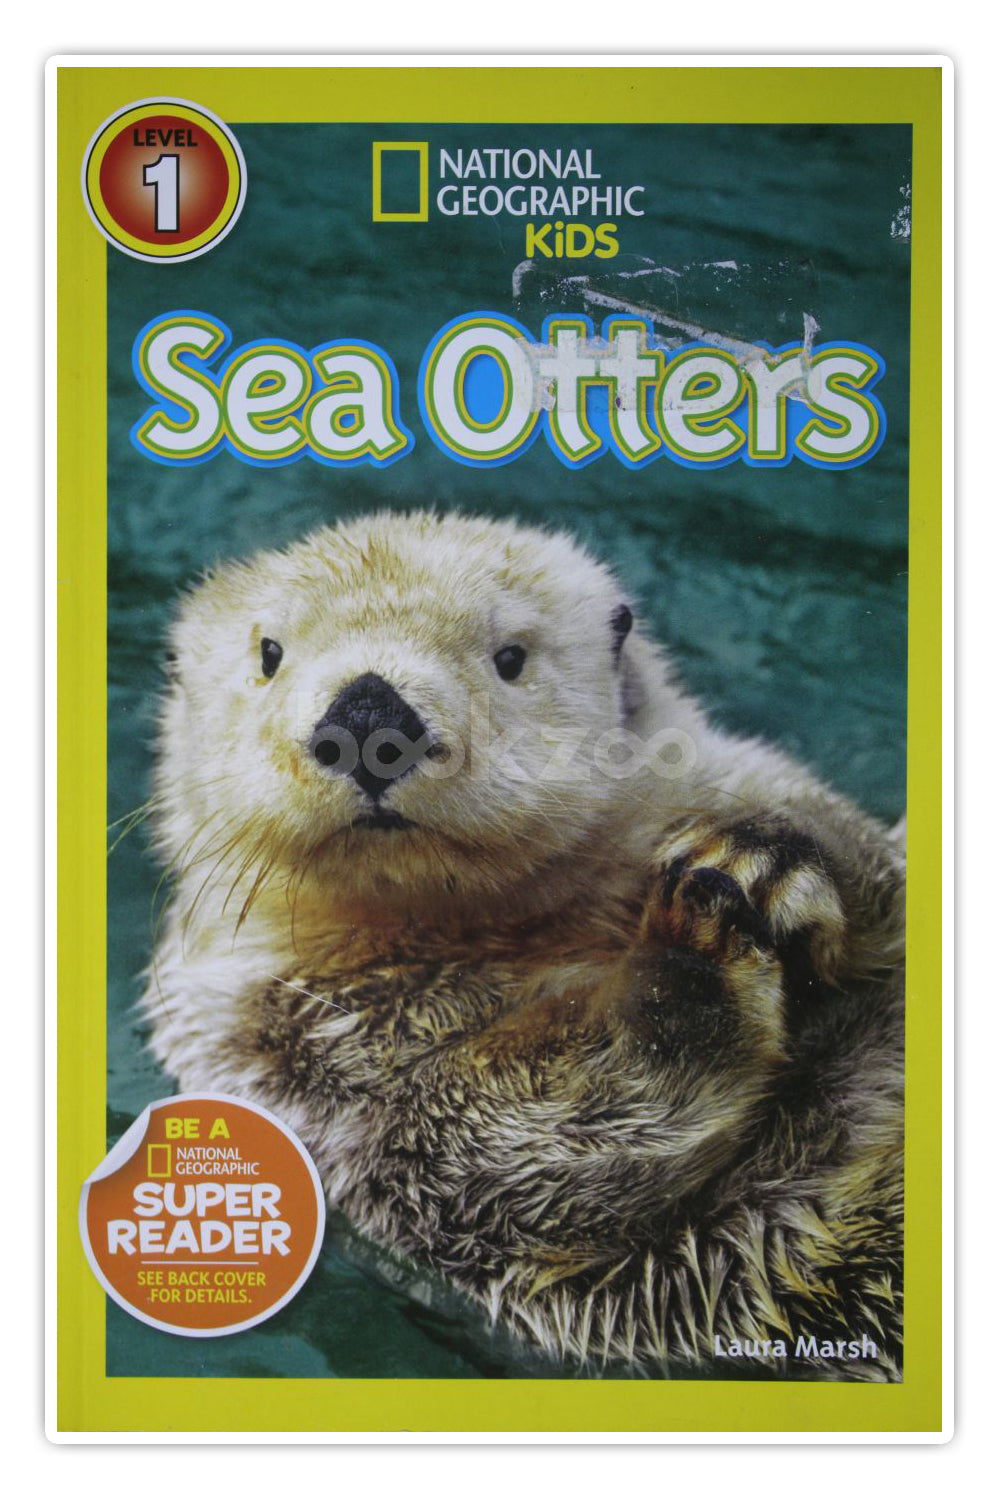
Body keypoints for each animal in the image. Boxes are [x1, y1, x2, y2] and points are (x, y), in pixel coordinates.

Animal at [142, 510, 905, 1379]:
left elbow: (876, 869)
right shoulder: (288, 1058)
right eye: (269, 654)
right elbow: (511, 1135)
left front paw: (764, 855)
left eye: (510, 657)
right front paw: (690, 948)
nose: (368, 717)